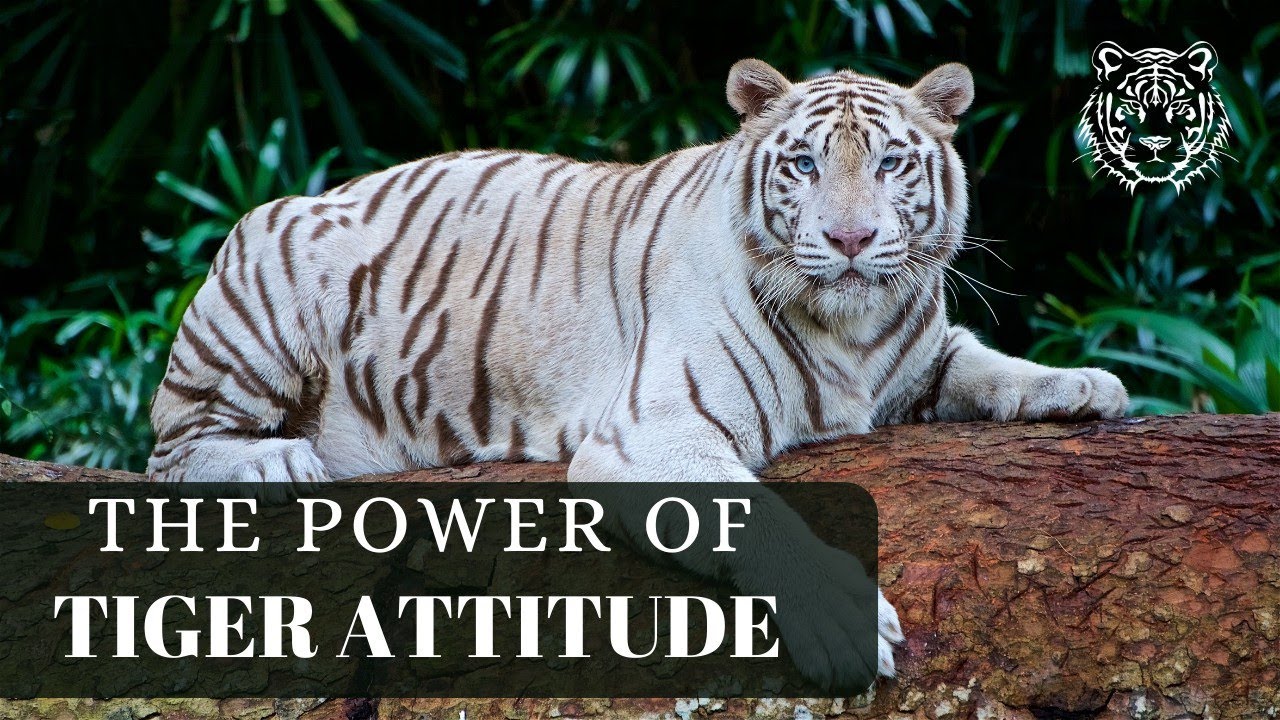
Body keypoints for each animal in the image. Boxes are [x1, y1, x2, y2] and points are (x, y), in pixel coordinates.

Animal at [148, 58, 1129, 684]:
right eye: (803, 163)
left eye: (891, 162)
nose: (850, 239)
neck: (853, 330)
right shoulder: (653, 431)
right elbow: (761, 518)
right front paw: (843, 621)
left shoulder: (921, 356)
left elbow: (988, 363)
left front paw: (1086, 384)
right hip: (270, 270)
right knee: (171, 449)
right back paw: (275, 460)